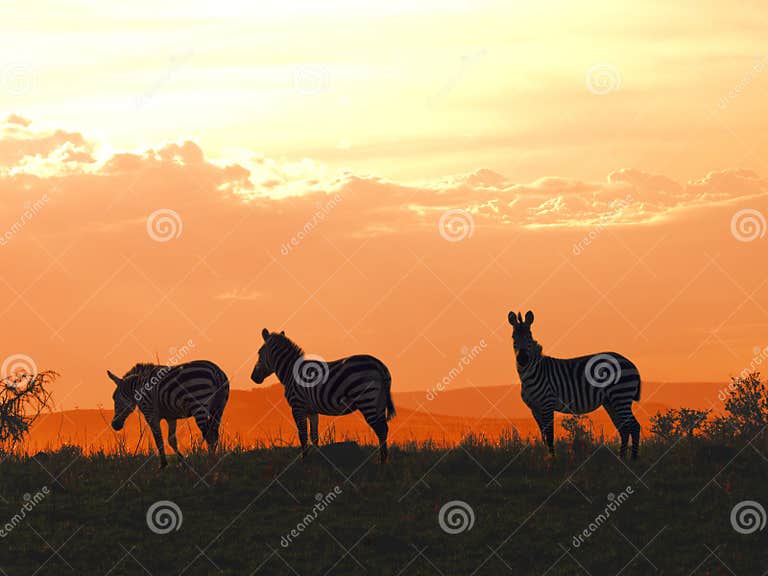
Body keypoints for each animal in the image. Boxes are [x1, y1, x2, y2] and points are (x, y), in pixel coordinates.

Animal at [250, 329, 396, 463]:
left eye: (259, 352)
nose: (253, 378)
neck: (291, 372)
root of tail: (379, 365)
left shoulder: (298, 407)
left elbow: (303, 435)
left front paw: (304, 461)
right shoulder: (312, 411)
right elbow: (314, 436)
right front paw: (318, 459)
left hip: (367, 399)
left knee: (380, 430)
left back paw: (382, 463)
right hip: (379, 402)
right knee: (384, 429)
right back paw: (383, 461)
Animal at [508, 310, 642, 459]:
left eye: (529, 336)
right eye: (513, 336)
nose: (522, 359)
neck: (532, 373)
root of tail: (630, 362)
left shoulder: (547, 404)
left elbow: (549, 435)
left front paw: (553, 460)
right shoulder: (535, 409)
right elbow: (543, 436)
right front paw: (546, 457)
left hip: (621, 396)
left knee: (634, 427)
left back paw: (633, 459)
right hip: (611, 402)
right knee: (624, 429)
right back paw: (621, 458)